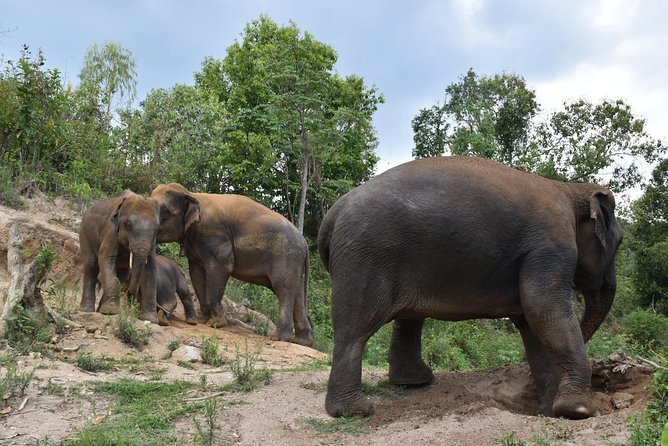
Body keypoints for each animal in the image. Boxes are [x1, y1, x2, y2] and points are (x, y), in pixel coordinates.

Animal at [79, 190, 160, 323]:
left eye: (157, 229)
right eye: (128, 225)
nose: (131, 294)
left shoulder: (153, 241)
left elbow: (150, 267)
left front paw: (150, 320)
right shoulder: (110, 230)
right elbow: (106, 258)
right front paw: (111, 312)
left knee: (122, 274)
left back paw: (101, 309)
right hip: (84, 233)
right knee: (91, 265)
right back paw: (89, 310)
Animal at [149, 183, 314, 346]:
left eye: (165, 211)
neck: (192, 194)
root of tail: (305, 243)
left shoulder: (214, 235)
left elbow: (222, 267)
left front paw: (216, 324)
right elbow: (196, 273)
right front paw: (204, 319)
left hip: (287, 258)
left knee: (283, 289)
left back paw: (279, 338)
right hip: (294, 262)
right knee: (297, 293)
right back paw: (302, 341)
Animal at [317, 156, 623, 420]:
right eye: (619, 242)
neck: (571, 190)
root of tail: (332, 213)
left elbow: (532, 322)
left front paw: (548, 410)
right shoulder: (551, 245)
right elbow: (543, 308)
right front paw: (579, 411)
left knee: (406, 317)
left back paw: (413, 383)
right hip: (366, 256)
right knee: (355, 330)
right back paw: (355, 411)